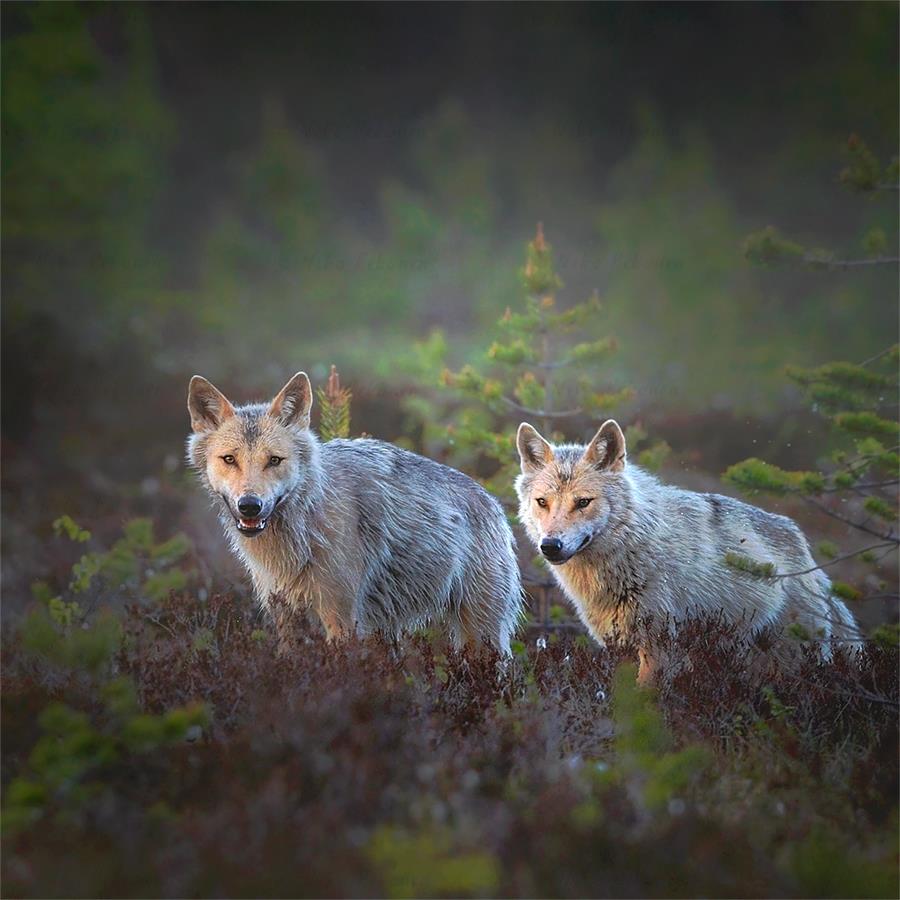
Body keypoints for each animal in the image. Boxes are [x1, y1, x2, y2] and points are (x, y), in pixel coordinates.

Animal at [186, 372, 523, 652]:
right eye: (229, 459)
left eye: (274, 460)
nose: (250, 505)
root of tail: (495, 505)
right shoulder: (286, 619)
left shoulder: (342, 620)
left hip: (481, 636)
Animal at [515, 419, 860, 682]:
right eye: (543, 502)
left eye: (583, 502)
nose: (550, 546)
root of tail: (804, 548)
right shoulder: (619, 646)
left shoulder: (659, 649)